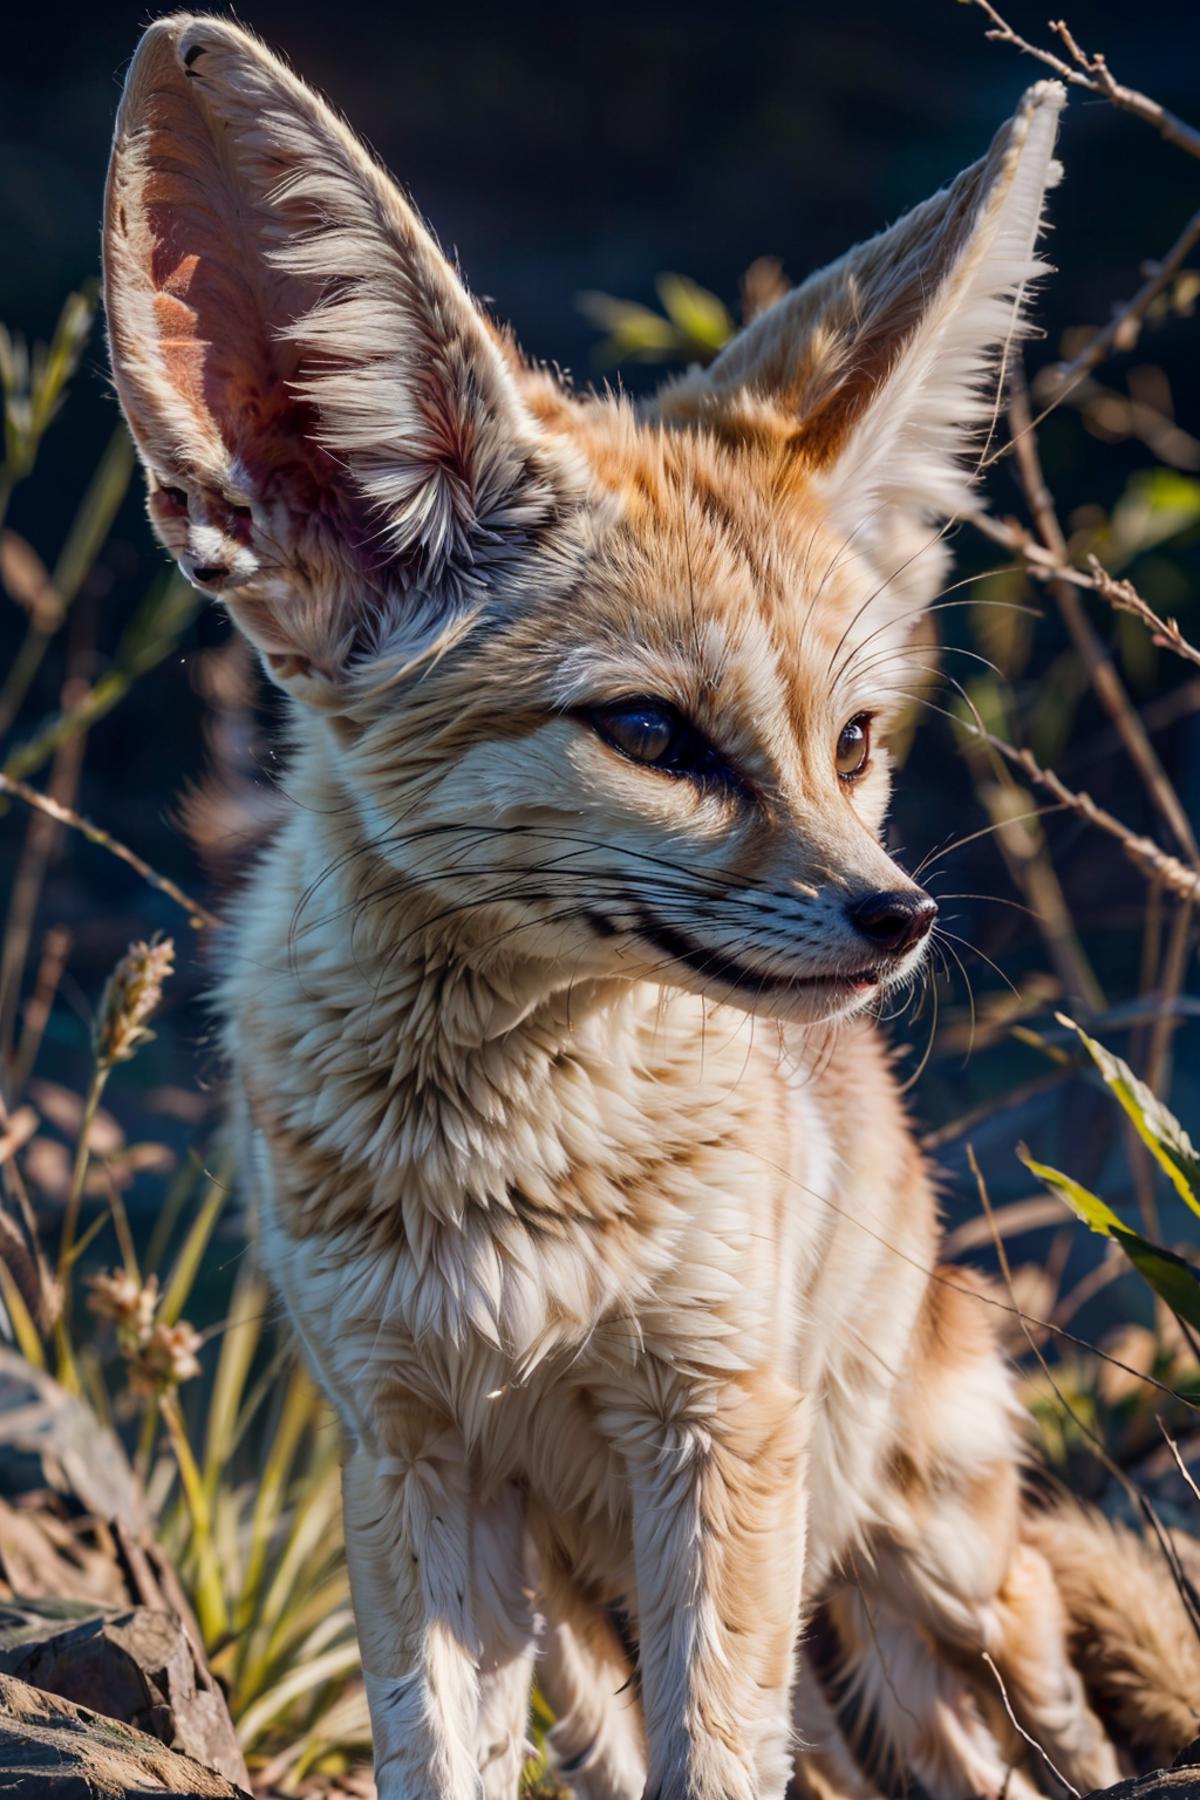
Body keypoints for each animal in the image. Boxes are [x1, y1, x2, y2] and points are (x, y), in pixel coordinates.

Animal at [102, 17, 1200, 1800]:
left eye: (853, 743)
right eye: (650, 736)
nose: (900, 918)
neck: (506, 1180)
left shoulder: (715, 1428)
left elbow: (718, 1756)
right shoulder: (412, 1452)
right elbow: (444, 1759)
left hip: (936, 1584)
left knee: (1039, 1720)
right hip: (590, 1622)